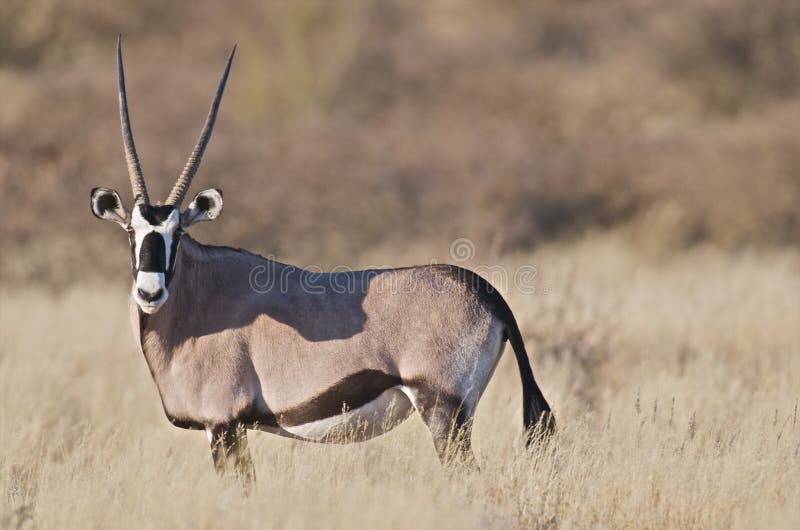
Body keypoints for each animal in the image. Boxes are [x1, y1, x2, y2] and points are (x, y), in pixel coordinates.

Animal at [90, 37, 553, 482]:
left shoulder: (223, 425)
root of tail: (485, 292)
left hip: (444, 410)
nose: (150, 291)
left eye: (178, 233)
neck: (196, 302)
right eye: (132, 231)